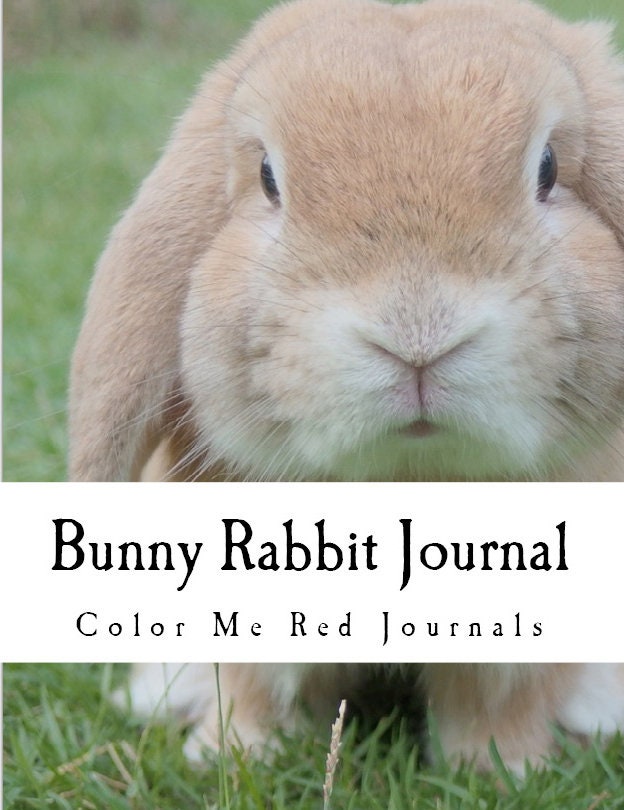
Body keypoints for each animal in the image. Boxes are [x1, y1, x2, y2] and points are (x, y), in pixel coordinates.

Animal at [71, 0, 624, 772]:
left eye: (546, 168)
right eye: (268, 178)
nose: (417, 333)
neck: (407, 477)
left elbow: (493, 706)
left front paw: (502, 771)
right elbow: (256, 689)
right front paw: (232, 757)